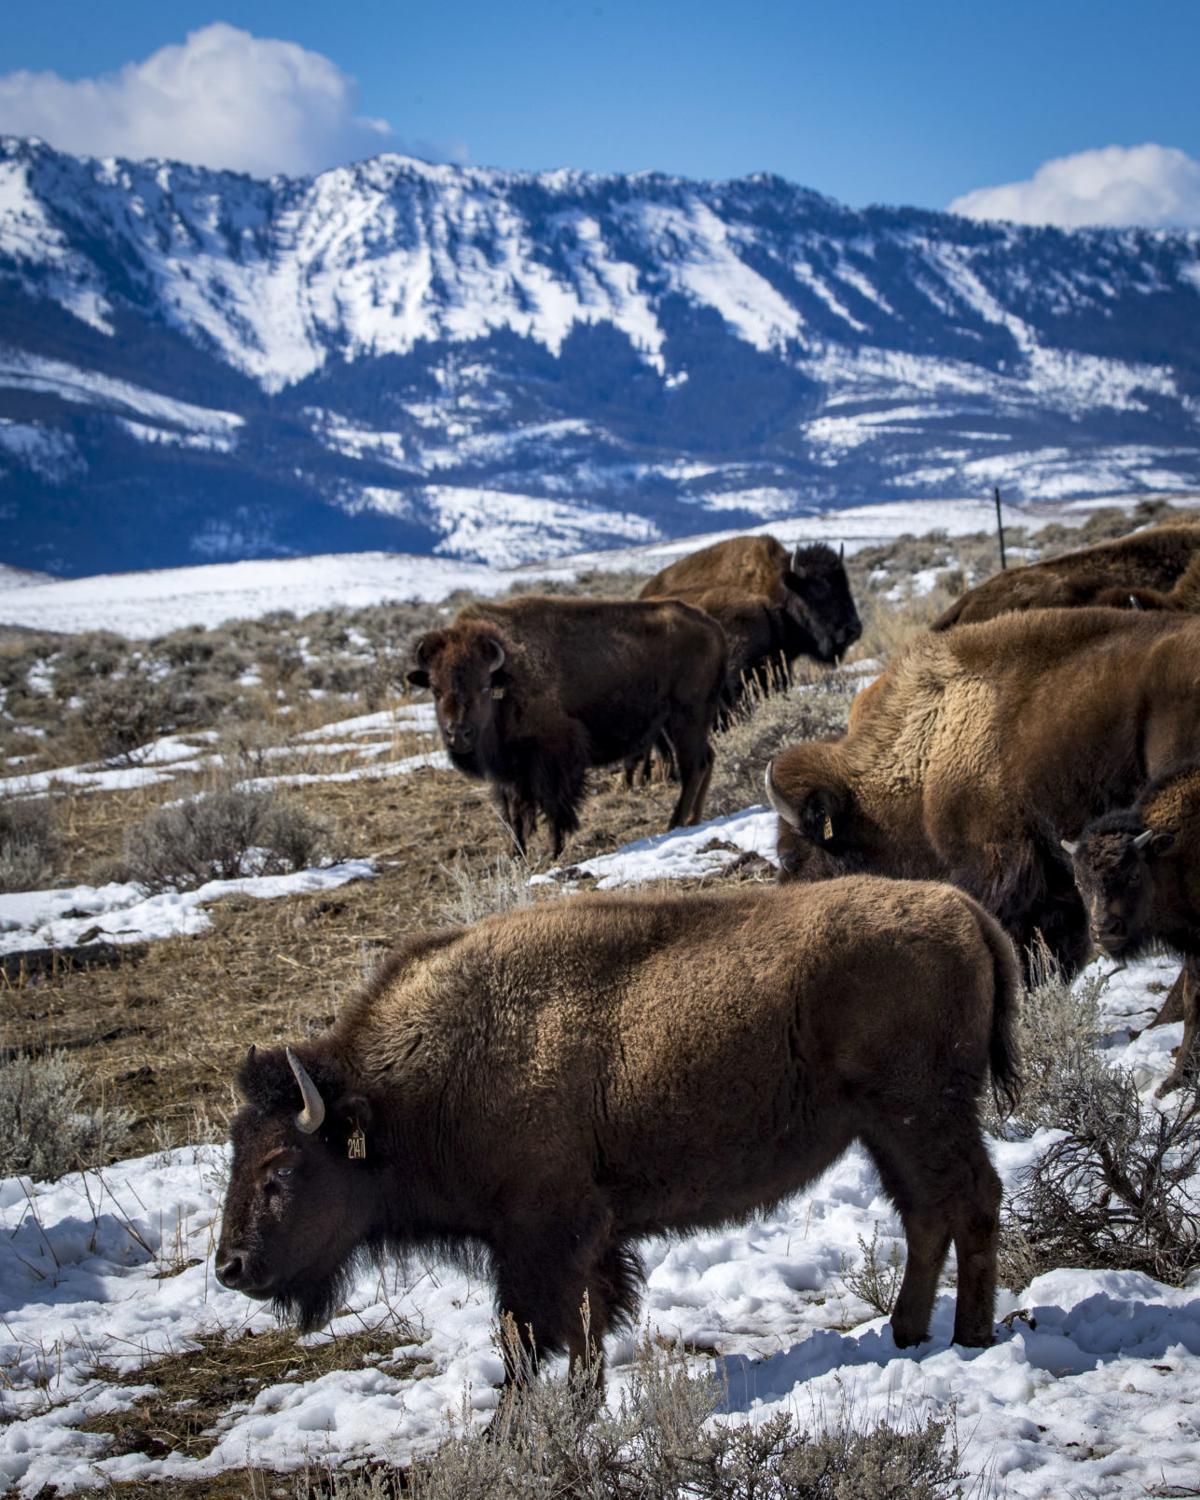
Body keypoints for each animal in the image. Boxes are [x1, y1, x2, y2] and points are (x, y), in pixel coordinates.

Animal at [216, 877, 1020, 1391]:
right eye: (234, 1155)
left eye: (281, 1169)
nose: (228, 1267)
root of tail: (964, 910)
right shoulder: (583, 1242)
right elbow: (585, 1330)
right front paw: (579, 1409)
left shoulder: (544, 1237)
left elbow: (528, 1339)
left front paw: (517, 1431)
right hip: (885, 1128)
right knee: (927, 1213)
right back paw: (908, 1333)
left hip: (922, 1114)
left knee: (973, 1202)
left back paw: (971, 1336)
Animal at [407, 596, 726, 856]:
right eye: (435, 689)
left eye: (484, 687)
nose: (458, 734)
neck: (508, 676)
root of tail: (711, 624)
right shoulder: (510, 771)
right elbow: (514, 812)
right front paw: (516, 854)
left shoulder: (553, 757)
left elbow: (553, 806)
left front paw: (554, 851)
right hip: (684, 724)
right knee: (707, 759)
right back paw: (693, 820)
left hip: (686, 719)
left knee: (693, 767)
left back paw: (673, 824)